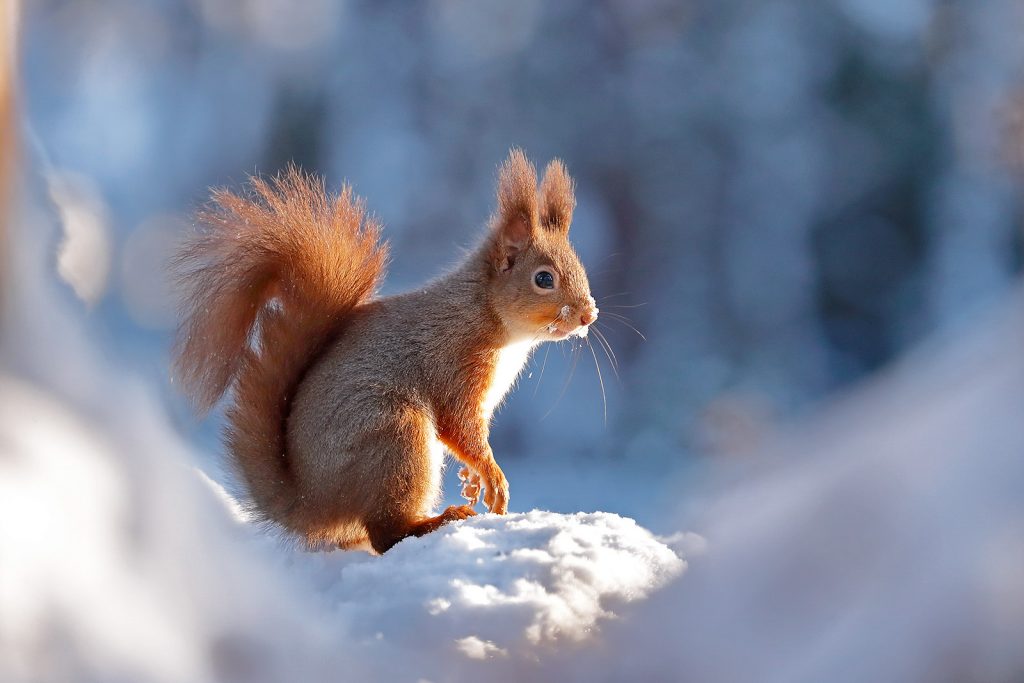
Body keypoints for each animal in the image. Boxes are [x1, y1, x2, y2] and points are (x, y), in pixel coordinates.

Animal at [173, 149, 598, 554]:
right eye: (543, 279)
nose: (589, 314)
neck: (487, 313)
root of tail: (312, 502)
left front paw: (472, 479)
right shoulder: (454, 363)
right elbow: (460, 427)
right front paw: (491, 475)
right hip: (395, 438)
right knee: (386, 534)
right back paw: (437, 521)